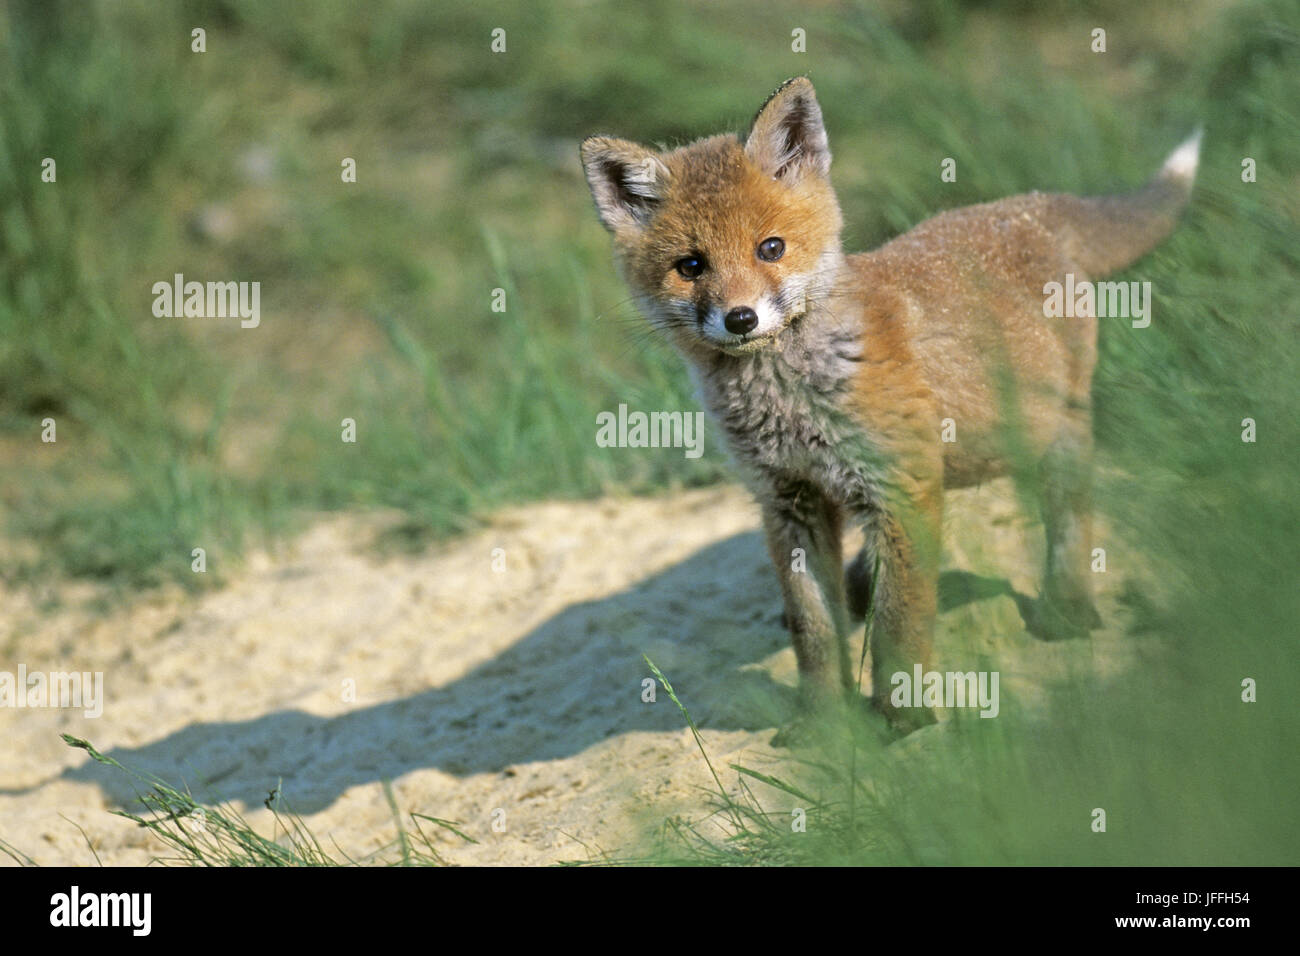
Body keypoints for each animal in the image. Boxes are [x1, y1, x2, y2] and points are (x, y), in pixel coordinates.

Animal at [581, 77, 1199, 739]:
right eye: (691, 266)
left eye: (770, 248)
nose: (741, 318)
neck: (790, 402)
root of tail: (1027, 206)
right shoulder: (791, 501)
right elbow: (814, 630)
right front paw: (823, 723)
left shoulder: (899, 484)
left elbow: (901, 621)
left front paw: (903, 719)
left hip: (1048, 434)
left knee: (1070, 510)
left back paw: (1068, 605)